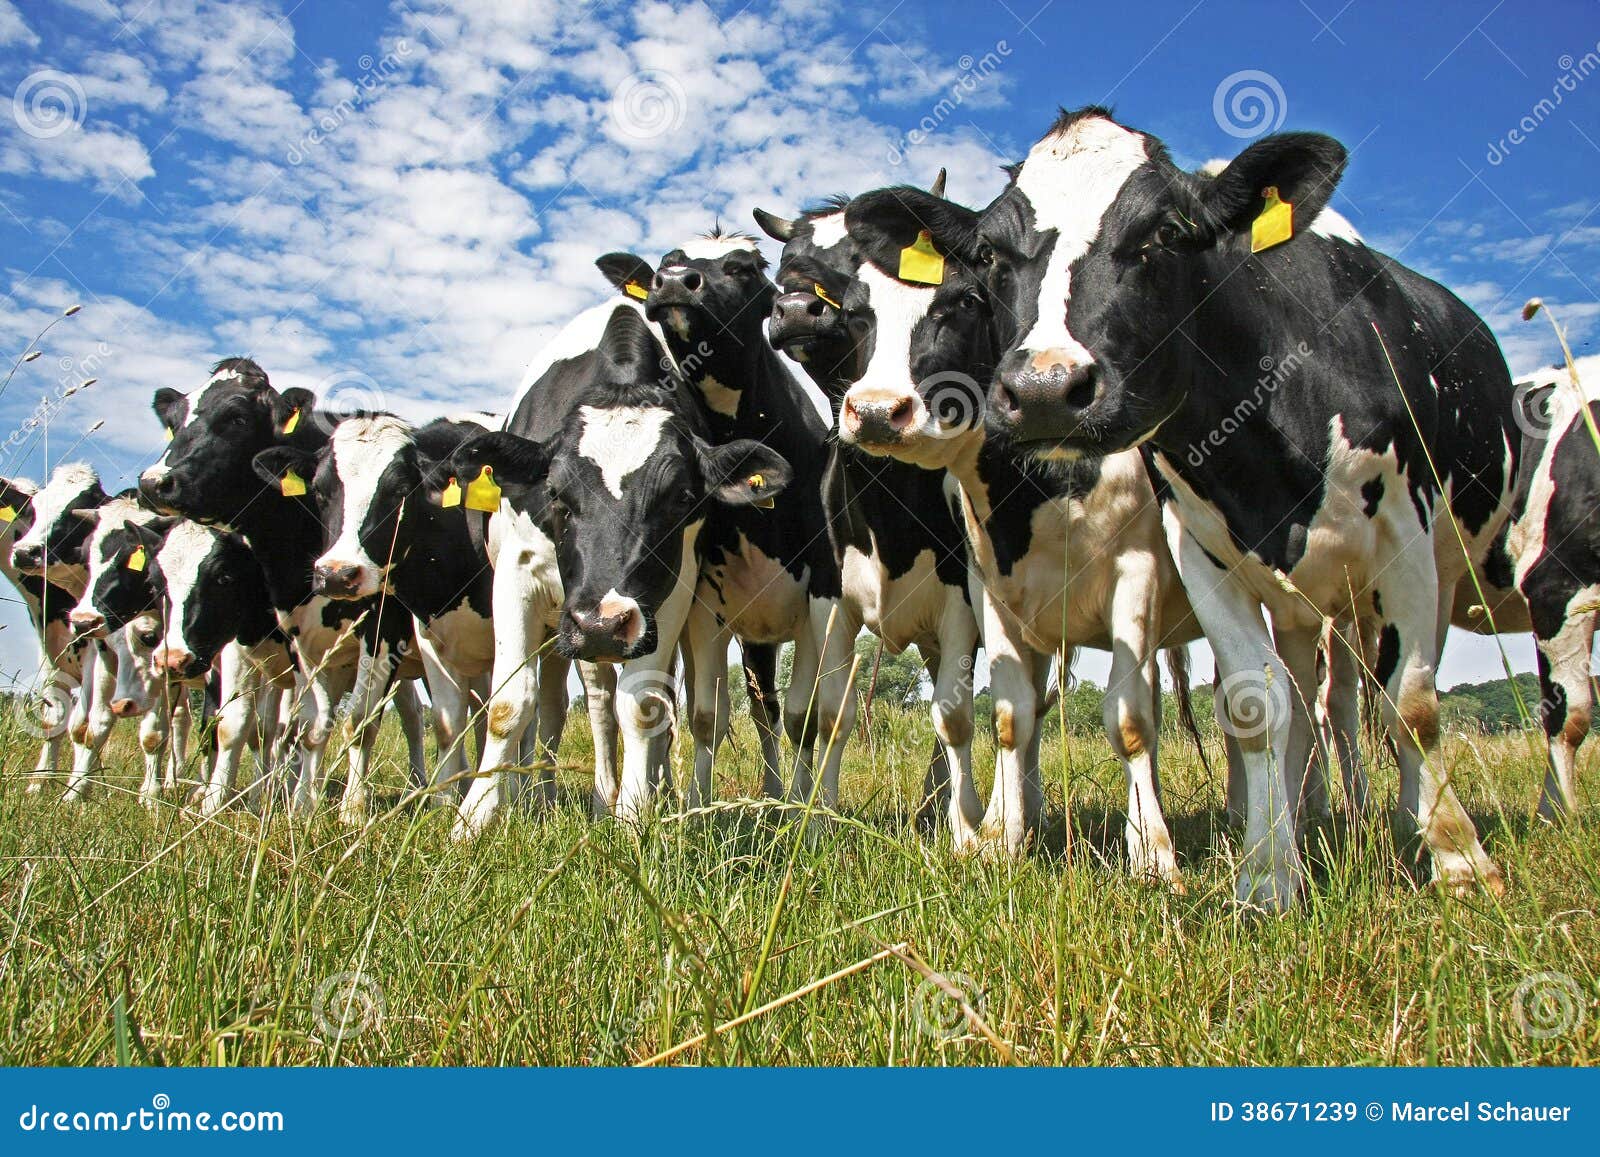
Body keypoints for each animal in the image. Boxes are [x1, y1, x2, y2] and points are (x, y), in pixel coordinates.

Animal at [138, 358, 428, 824]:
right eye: (173, 420)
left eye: (237, 417)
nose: (153, 483)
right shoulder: (280, 643)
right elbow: (267, 725)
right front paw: (274, 804)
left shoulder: (383, 630)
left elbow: (357, 721)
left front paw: (351, 809)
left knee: (414, 717)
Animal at [441, 301, 790, 833]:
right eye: (556, 494)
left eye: (682, 497)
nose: (602, 622)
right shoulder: (517, 577)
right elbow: (508, 703)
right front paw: (474, 818)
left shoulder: (669, 595)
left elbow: (644, 705)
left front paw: (632, 814)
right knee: (592, 704)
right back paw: (577, 797)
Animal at [595, 230, 855, 811]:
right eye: (667, 262)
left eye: (744, 267)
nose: (675, 283)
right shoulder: (703, 605)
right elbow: (706, 716)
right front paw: (698, 803)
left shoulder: (821, 595)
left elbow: (806, 718)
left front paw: (805, 809)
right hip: (753, 634)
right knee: (761, 710)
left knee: (790, 714)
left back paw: (790, 794)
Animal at [754, 189, 985, 848]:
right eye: (786, 269)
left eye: (959, 304)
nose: (796, 310)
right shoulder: (831, 599)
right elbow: (831, 712)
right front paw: (819, 823)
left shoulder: (963, 603)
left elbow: (957, 715)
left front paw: (966, 831)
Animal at [963, 107, 1516, 908]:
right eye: (991, 253)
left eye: (1164, 232)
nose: (1044, 389)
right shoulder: (1201, 551)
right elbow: (1257, 708)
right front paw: (1266, 872)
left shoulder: (1404, 538)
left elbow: (1411, 704)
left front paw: (1460, 857)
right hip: (1296, 606)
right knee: (1300, 701)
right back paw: (1296, 819)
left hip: (1430, 573)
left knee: (1374, 699)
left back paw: (1402, 815)